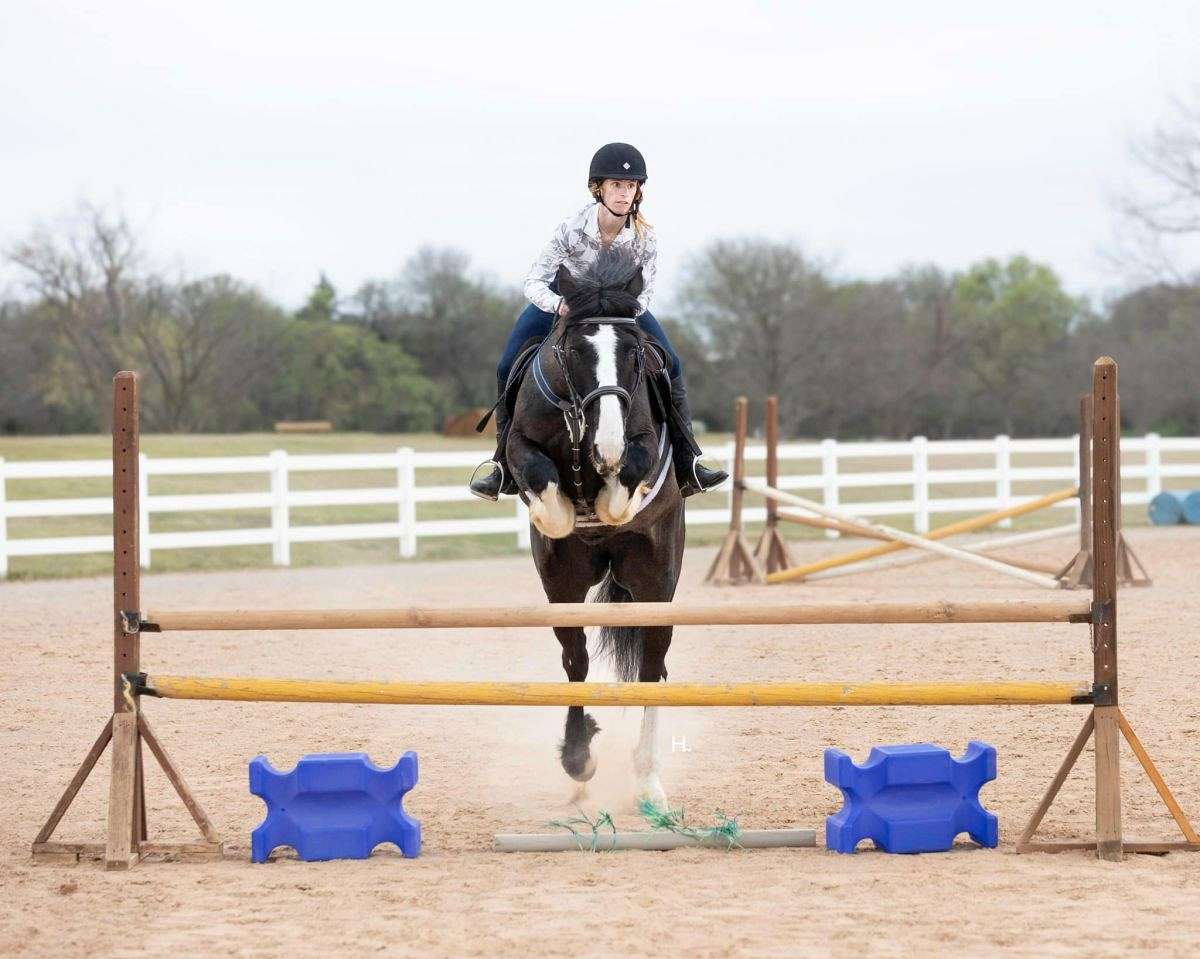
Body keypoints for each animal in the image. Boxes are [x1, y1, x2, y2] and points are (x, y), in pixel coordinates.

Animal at [504, 251, 684, 809]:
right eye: (574, 352)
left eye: (634, 353)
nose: (606, 446)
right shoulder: (520, 446)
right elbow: (539, 476)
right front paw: (561, 515)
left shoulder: (643, 441)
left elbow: (633, 470)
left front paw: (607, 504)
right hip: (563, 590)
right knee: (576, 661)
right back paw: (578, 762)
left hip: (655, 583)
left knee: (652, 669)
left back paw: (649, 782)